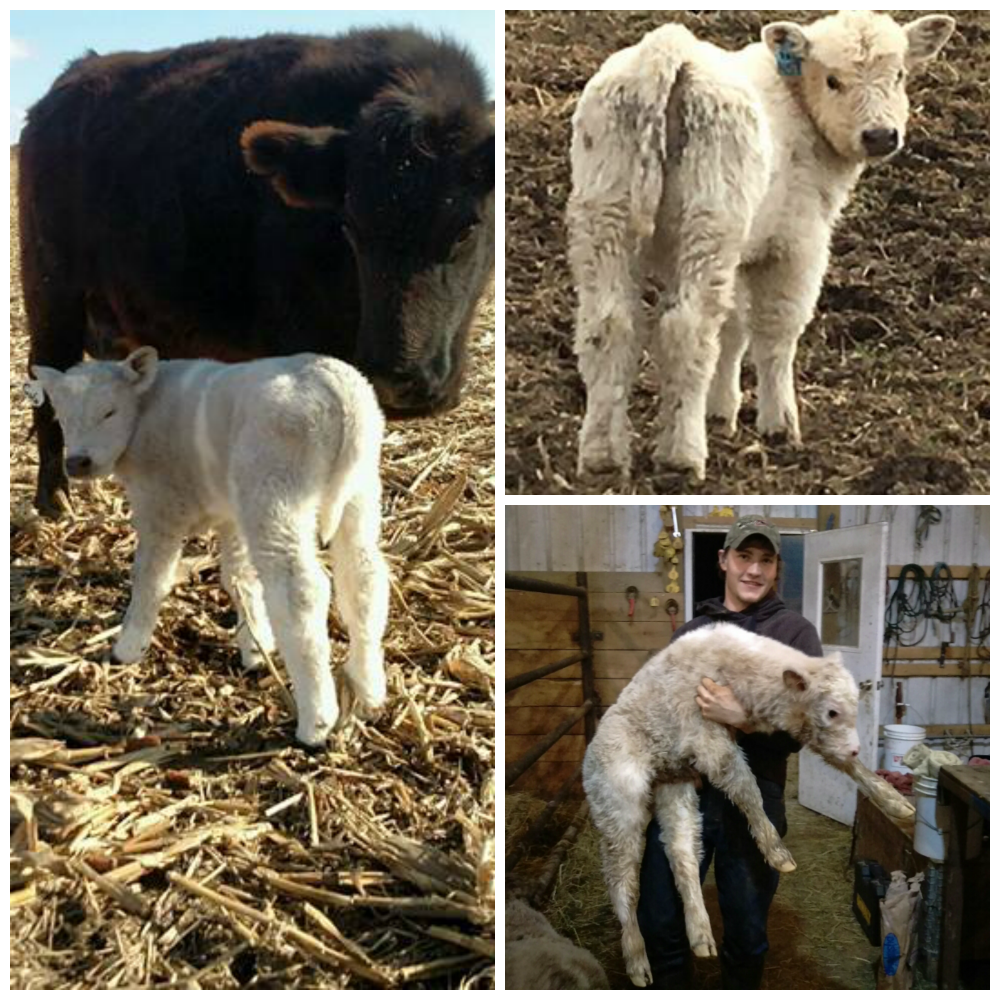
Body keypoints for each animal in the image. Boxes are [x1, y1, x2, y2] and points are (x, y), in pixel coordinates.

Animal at [18, 27, 496, 516]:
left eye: (466, 227)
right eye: (350, 225)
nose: (398, 381)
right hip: (51, 294)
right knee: (47, 382)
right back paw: (54, 497)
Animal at [568, 11, 954, 482]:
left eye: (899, 74)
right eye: (832, 80)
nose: (881, 135)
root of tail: (669, 49)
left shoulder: (741, 253)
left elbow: (733, 328)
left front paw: (721, 411)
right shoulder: (798, 244)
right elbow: (776, 330)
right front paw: (779, 425)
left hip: (607, 215)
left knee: (609, 327)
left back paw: (603, 456)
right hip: (708, 222)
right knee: (687, 329)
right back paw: (682, 455)